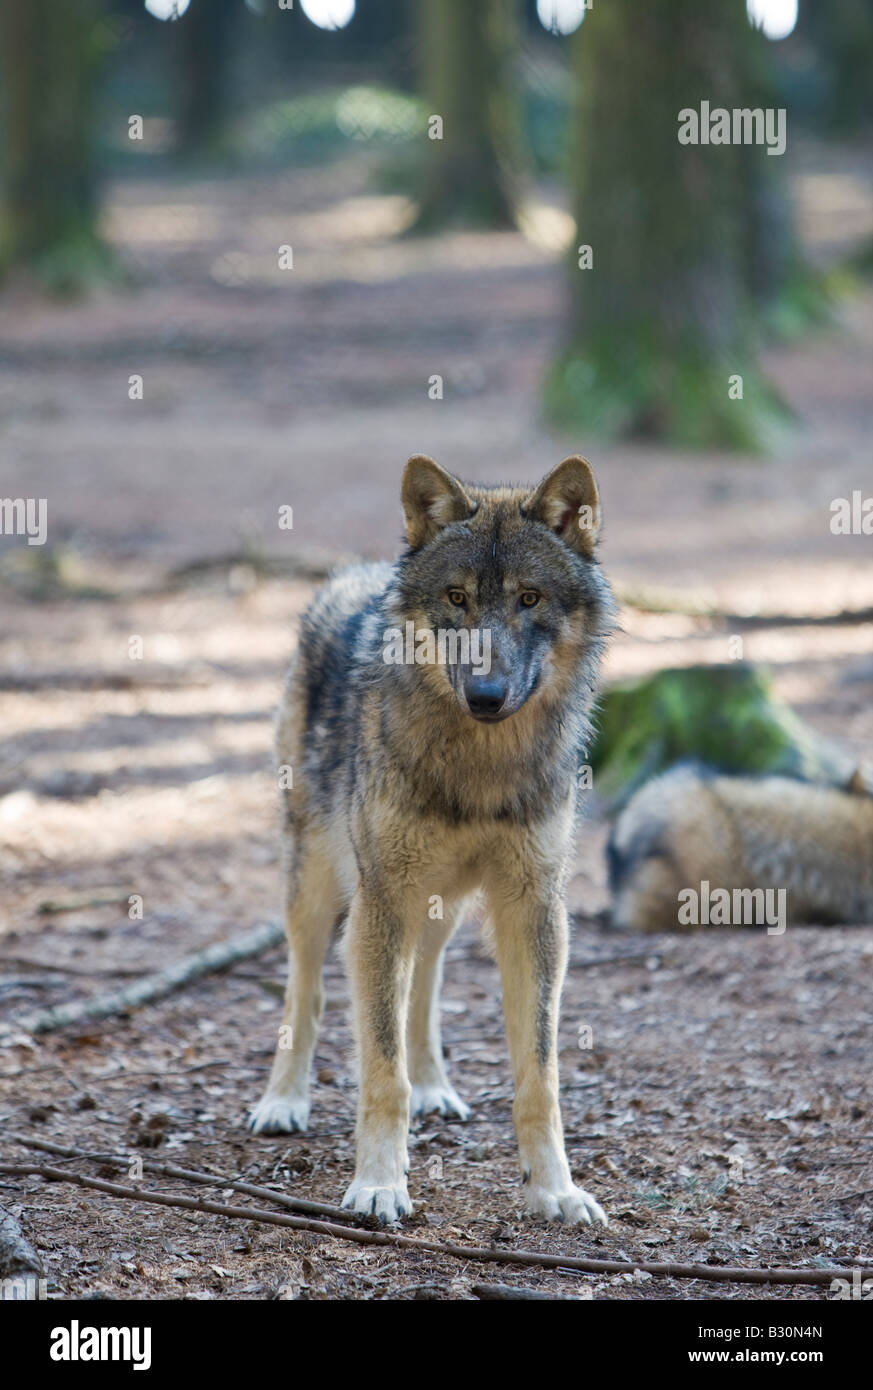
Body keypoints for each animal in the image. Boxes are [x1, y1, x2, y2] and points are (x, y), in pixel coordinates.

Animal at [248, 454, 614, 1226]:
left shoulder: (534, 908)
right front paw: (379, 1185)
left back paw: (434, 1087)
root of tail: (354, 572)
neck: (479, 767)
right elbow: (378, 1069)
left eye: (529, 598)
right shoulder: (382, 900)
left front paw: (555, 1191)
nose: (486, 695)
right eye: (456, 598)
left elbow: (539, 1076)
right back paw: (283, 1101)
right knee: (307, 993)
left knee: (425, 983)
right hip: (319, 890)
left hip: (442, 905)